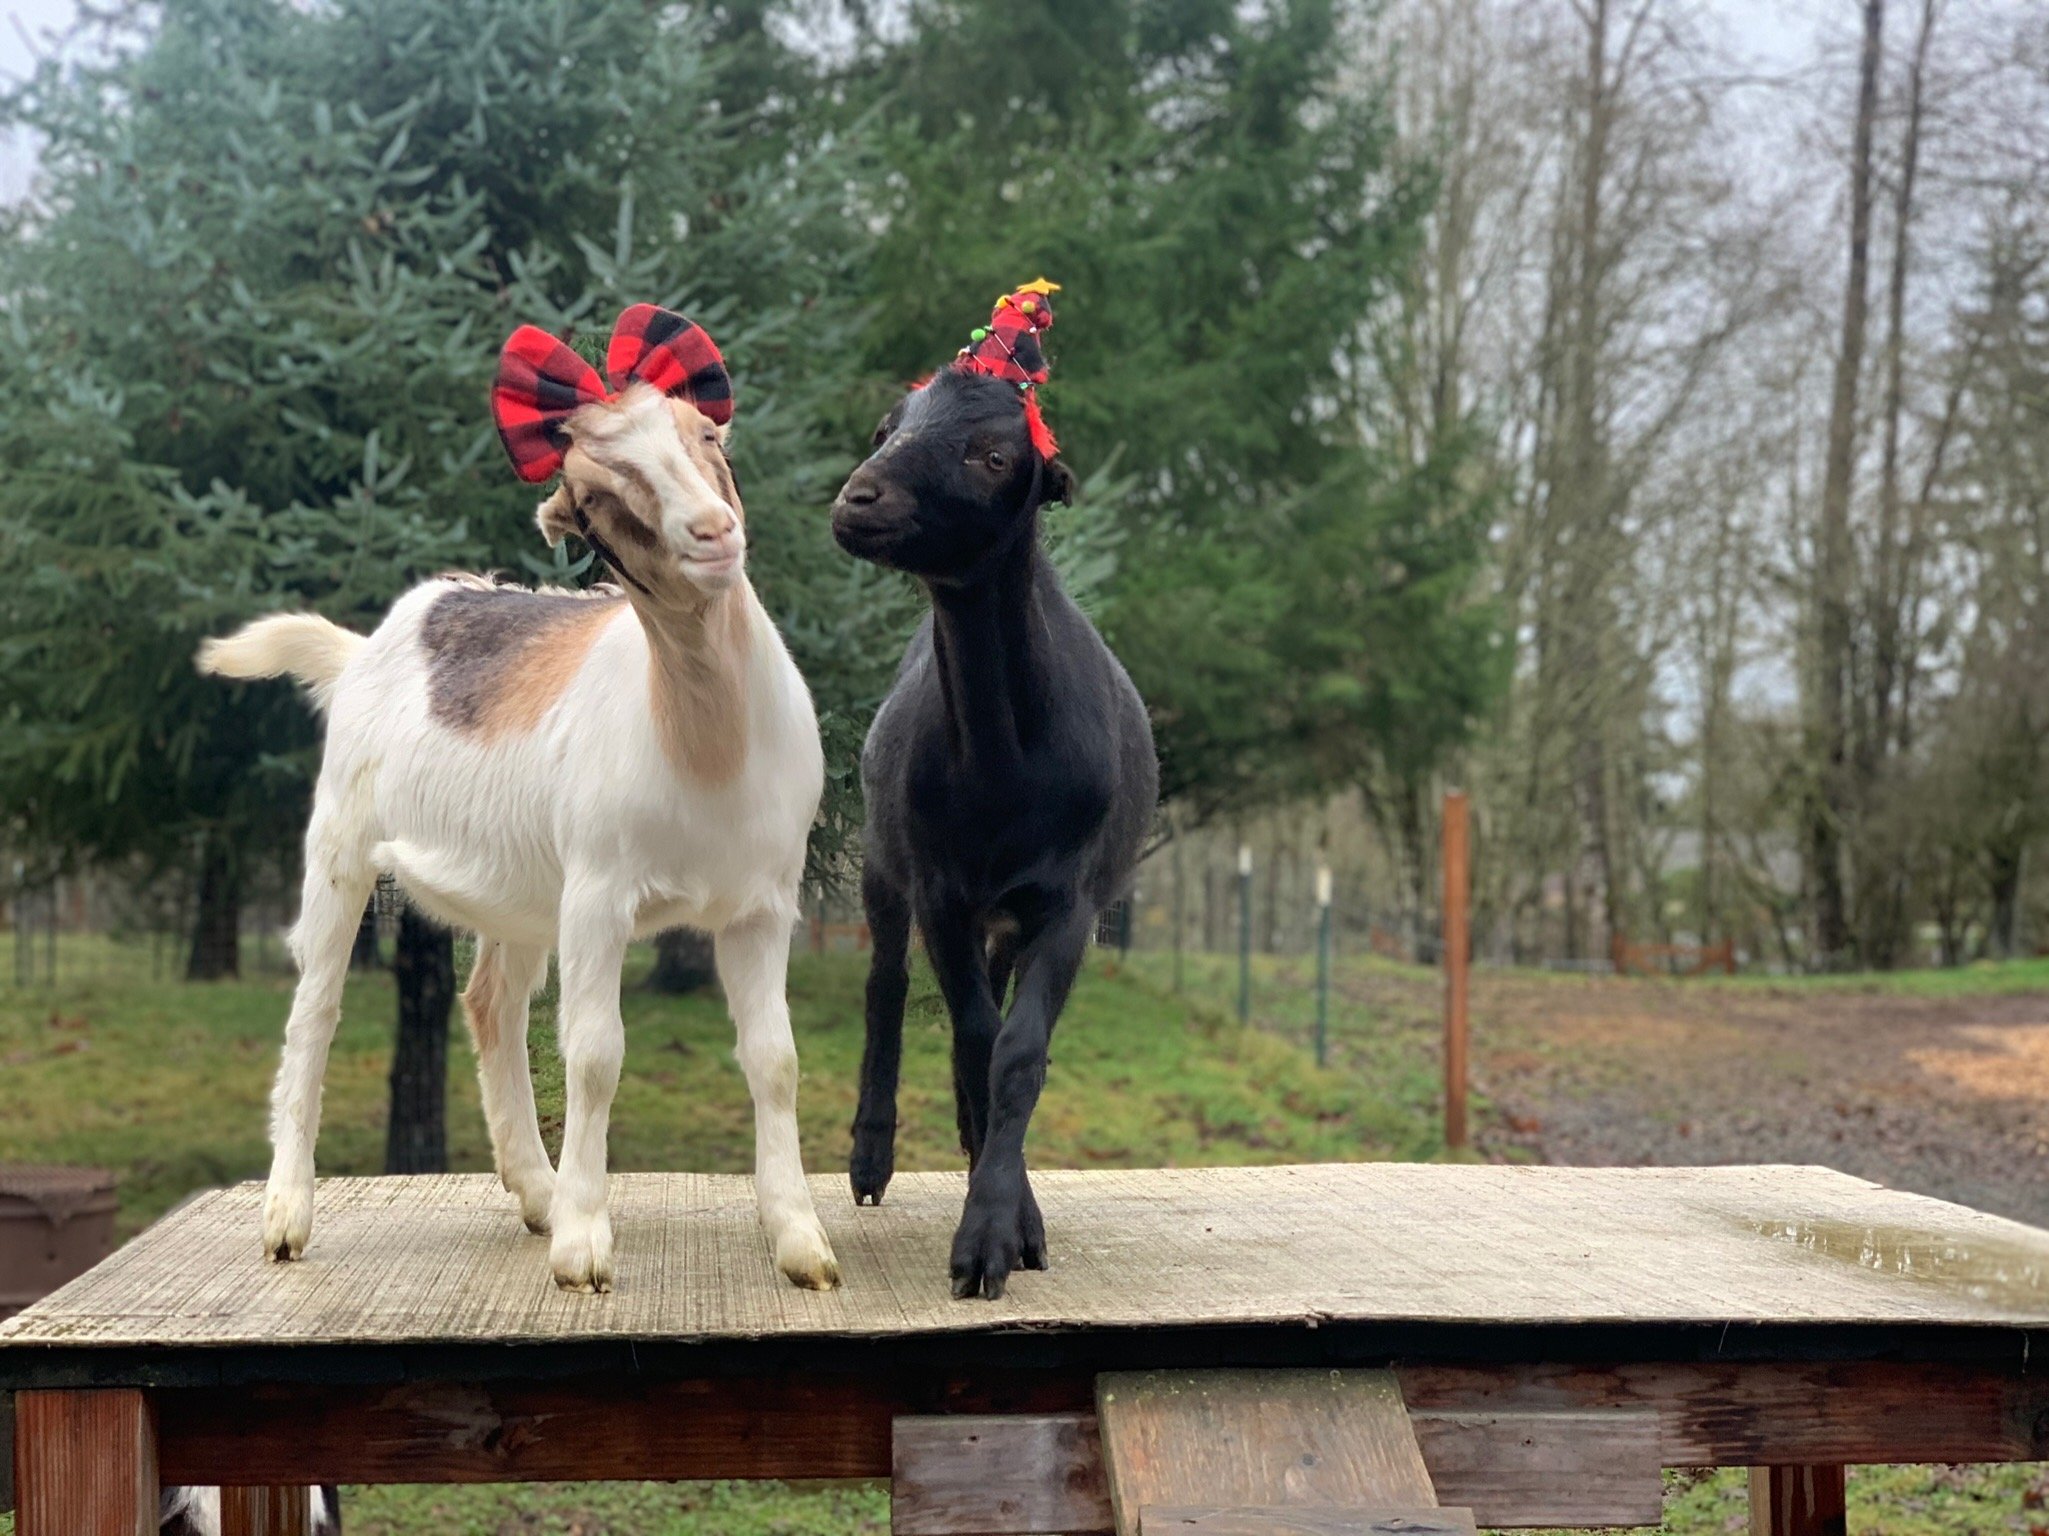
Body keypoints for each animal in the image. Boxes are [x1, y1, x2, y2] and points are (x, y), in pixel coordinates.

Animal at [197, 306, 838, 1293]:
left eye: (705, 434)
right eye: (598, 489)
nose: (711, 532)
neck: (706, 744)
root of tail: (363, 647)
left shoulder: (763, 902)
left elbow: (775, 1059)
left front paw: (802, 1243)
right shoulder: (599, 893)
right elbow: (595, 1053)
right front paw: (585, 1246)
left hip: (520, 890)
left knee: (489, 1001)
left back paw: (534, 1190)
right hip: (341, 845)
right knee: (316, 1012)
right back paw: (287, 1217)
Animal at [830, 285, 1157, 1299]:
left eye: (994, 455)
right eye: (888, 428)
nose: (858, 499)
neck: (1003, 773)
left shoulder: (1069, 900)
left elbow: (1017, 1053)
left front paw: (1003, 1229)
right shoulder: (940, 886)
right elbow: (978, 1038)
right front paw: (996, 1228)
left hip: (1007, 913)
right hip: (883, 860)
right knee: (884, 986)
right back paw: (871, 1159)